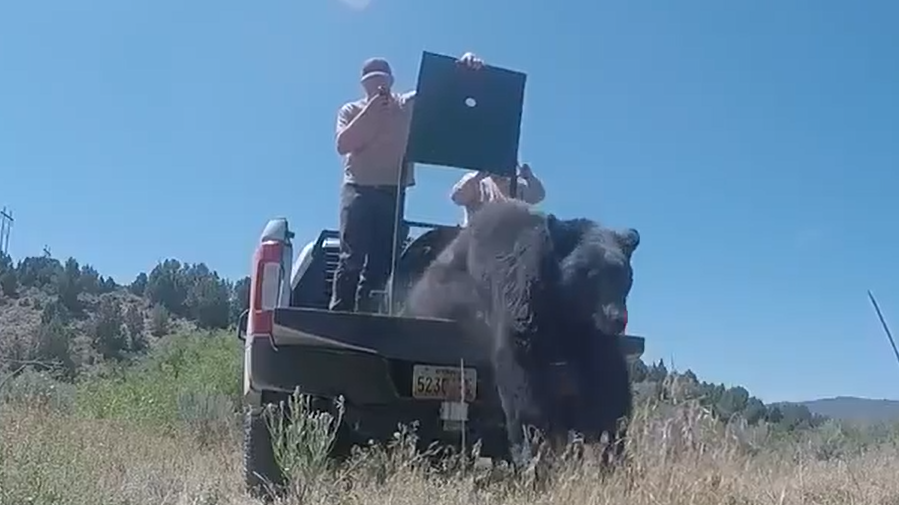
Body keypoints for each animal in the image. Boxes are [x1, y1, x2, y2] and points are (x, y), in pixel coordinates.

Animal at [403, 199, 640, 467]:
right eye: (593, 274)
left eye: (624, 276)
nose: (618, 318)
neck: (562, 302)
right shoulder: (521, 306)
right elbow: (522, 380)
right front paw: (533, 449)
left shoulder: (588, 331)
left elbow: (609, 380)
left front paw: (610, 444)